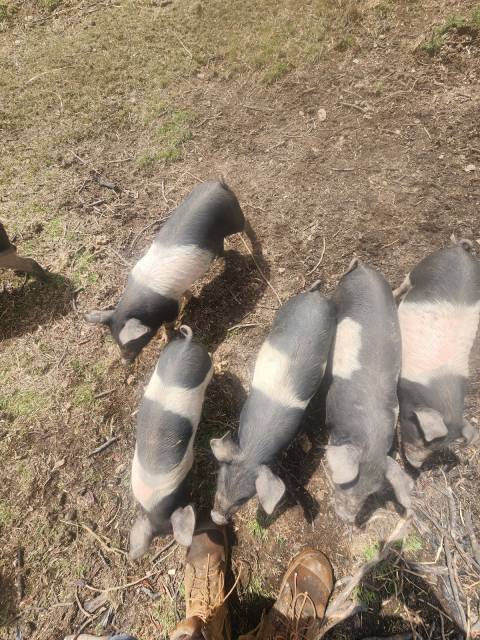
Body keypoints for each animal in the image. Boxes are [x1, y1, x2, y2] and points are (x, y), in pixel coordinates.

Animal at [86, 180, 245, 361]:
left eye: (132, 343)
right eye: (118, 344)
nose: (125, 362)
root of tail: (218, 184)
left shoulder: (171, 308)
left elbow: (169, 323)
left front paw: (165, 338)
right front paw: (191, 297)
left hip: (235, 216)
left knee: (243, 226)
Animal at [210, 285, 335, 524]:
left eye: (243, 498)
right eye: (220, 482)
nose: (216, 518)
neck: (253, 448)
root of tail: (315, 297)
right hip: (286, 309)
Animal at [325, 259, 413, 524]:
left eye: (370, 494)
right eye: (344, 484)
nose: (346, 519)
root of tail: (363, 268)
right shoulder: (331, 399)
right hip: (341, 293)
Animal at [395, 239, 480, 468]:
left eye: (437, 448)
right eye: (423, 437)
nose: (415, 467)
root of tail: (460, 250)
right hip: (423, 267)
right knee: (406, 280)